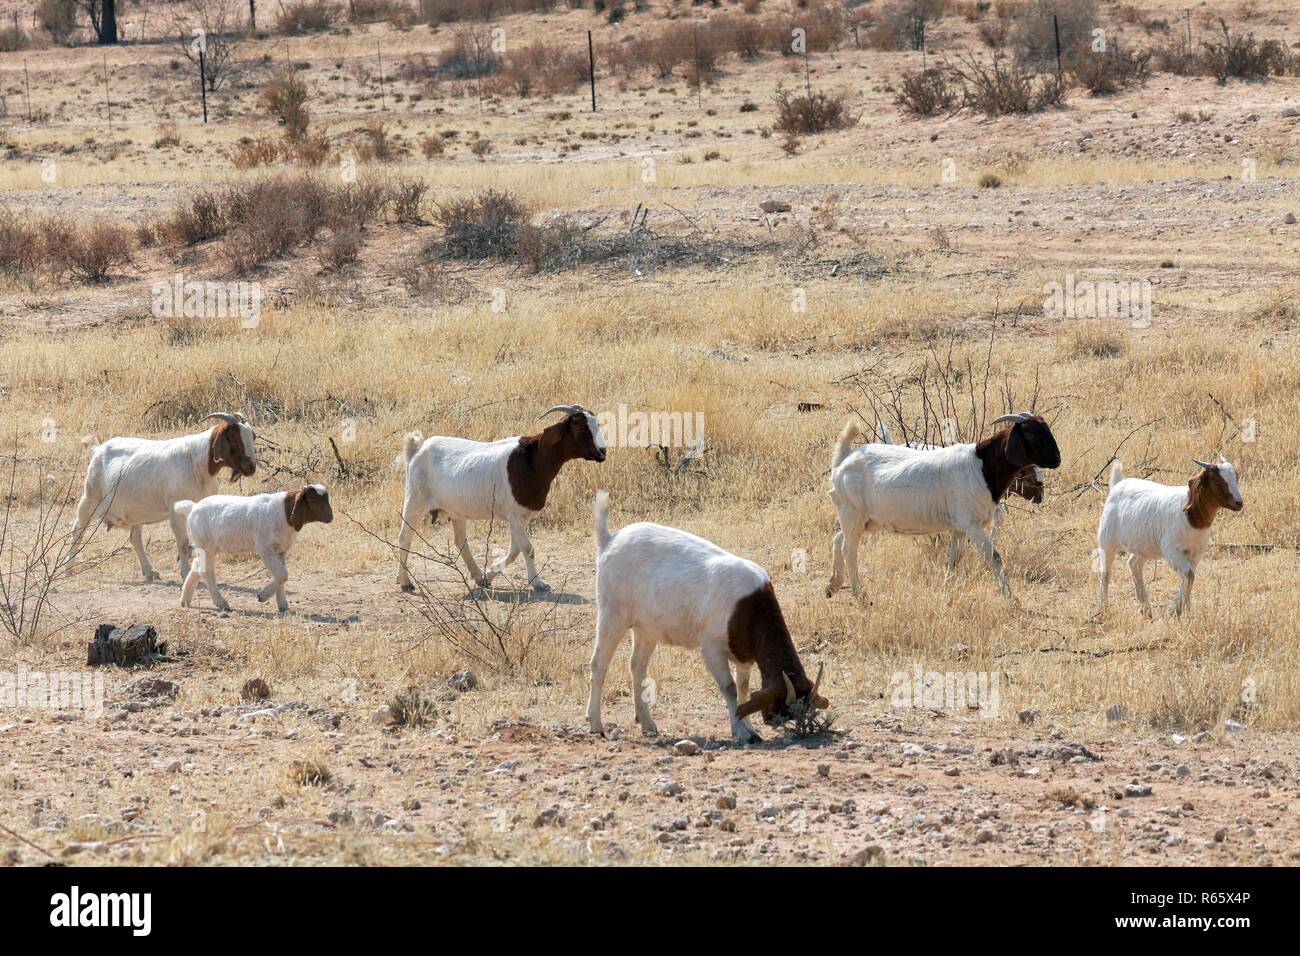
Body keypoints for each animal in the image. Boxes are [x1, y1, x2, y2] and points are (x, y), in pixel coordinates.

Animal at [68, 413, 257, 582]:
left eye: (252, 437)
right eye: (233, 438)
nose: (251, 467)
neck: (196, 463)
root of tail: (97, 450)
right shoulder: (175, 510)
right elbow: (182, 542)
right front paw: (185, 572)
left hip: (135, 511)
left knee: (135, 538)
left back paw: (150, 572)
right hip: (91, 497)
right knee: (78, 529)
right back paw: (68, 566)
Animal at [177, 485, 333, 613]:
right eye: (313, 500)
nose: (330, 517)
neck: (284, 513)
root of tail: (192, 507)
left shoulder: (281, 551)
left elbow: (281, 575)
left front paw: (282, 605)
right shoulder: (265, 549)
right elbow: (282, 574)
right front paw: (262, 596)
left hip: (204, 546)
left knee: (196, 568)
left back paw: (185, 600)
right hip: (206, 546)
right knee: (206, 572)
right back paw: (221, 603)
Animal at [396, 404, 606, 593]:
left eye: (597, 424)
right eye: (578, 426)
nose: (602, 452)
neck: (532, 460)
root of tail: (417, 448)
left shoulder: (523, 517)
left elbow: (515, 550)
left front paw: (491, 573)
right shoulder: (514, 516)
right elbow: (528, 549)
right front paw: (538, 583)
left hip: (455, 511)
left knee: (460, 541)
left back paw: (479, 577)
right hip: (415, 501)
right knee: (404, 538)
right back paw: (406, 582)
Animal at [589, 491, 828, 743]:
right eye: (784, 707)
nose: (772, 721)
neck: (749, 607)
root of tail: (609, 540)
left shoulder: (743, 654)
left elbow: (743, 688)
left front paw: (749, 728)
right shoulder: (711, 647)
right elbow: (730, 687)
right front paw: (742, 731)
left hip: (646, 628)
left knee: (637, 667)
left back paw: (647, 724)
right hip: (612, 613)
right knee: (599, 664)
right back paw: (596, 724)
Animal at [1095, 457, 1242, 618]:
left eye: (1236, 477)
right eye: (1216, 481)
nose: (1239, 503)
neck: (1191, 516)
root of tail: (1118, 484)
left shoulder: (1195, 554)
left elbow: (1190, 576)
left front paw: (1185, 610)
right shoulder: (1172, 551)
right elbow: (1189, 575)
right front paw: (1176, 610)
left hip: (1145, 545)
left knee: (1134, 564)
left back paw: (1146, 609)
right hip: (1107, 540)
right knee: (1106, 572)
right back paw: (1103, 608)